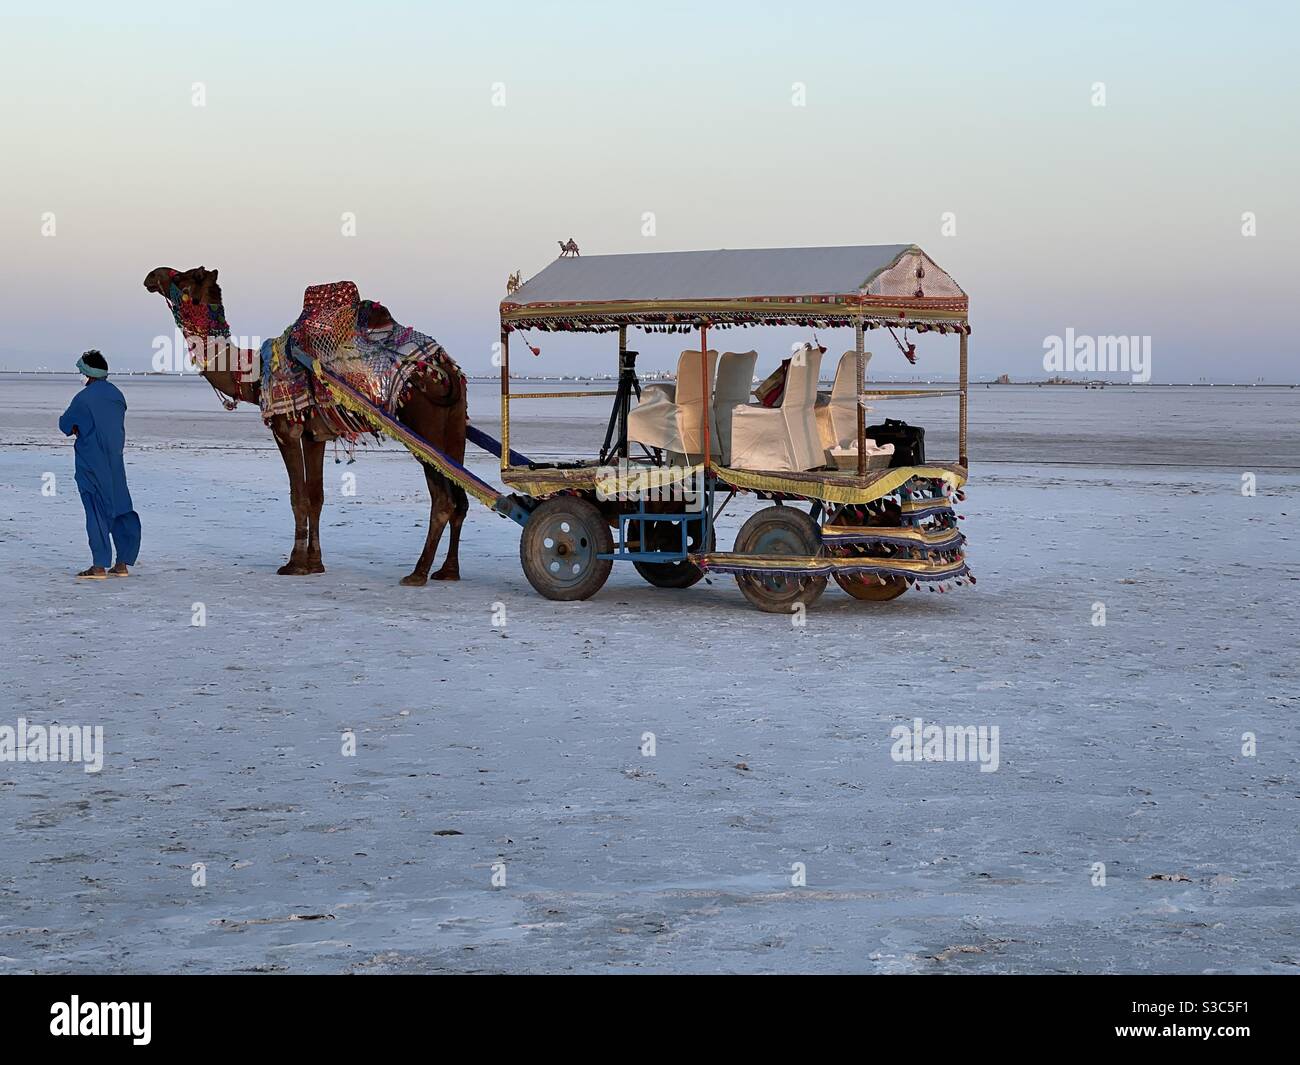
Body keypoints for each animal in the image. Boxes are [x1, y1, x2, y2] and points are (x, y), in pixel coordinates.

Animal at [143, 266, 468, 585]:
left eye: (183, 276)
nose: (152, 275)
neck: (254, 375)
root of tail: (443, 367)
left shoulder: (286, 428)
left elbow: (297, 496)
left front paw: (294, 564)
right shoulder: (315, 435)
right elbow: (316, 497)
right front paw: (315, 563)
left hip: (424, 429)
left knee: (443, 499)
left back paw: (418, 573)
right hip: (455, 427)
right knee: (460, 498)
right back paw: (448, 571)